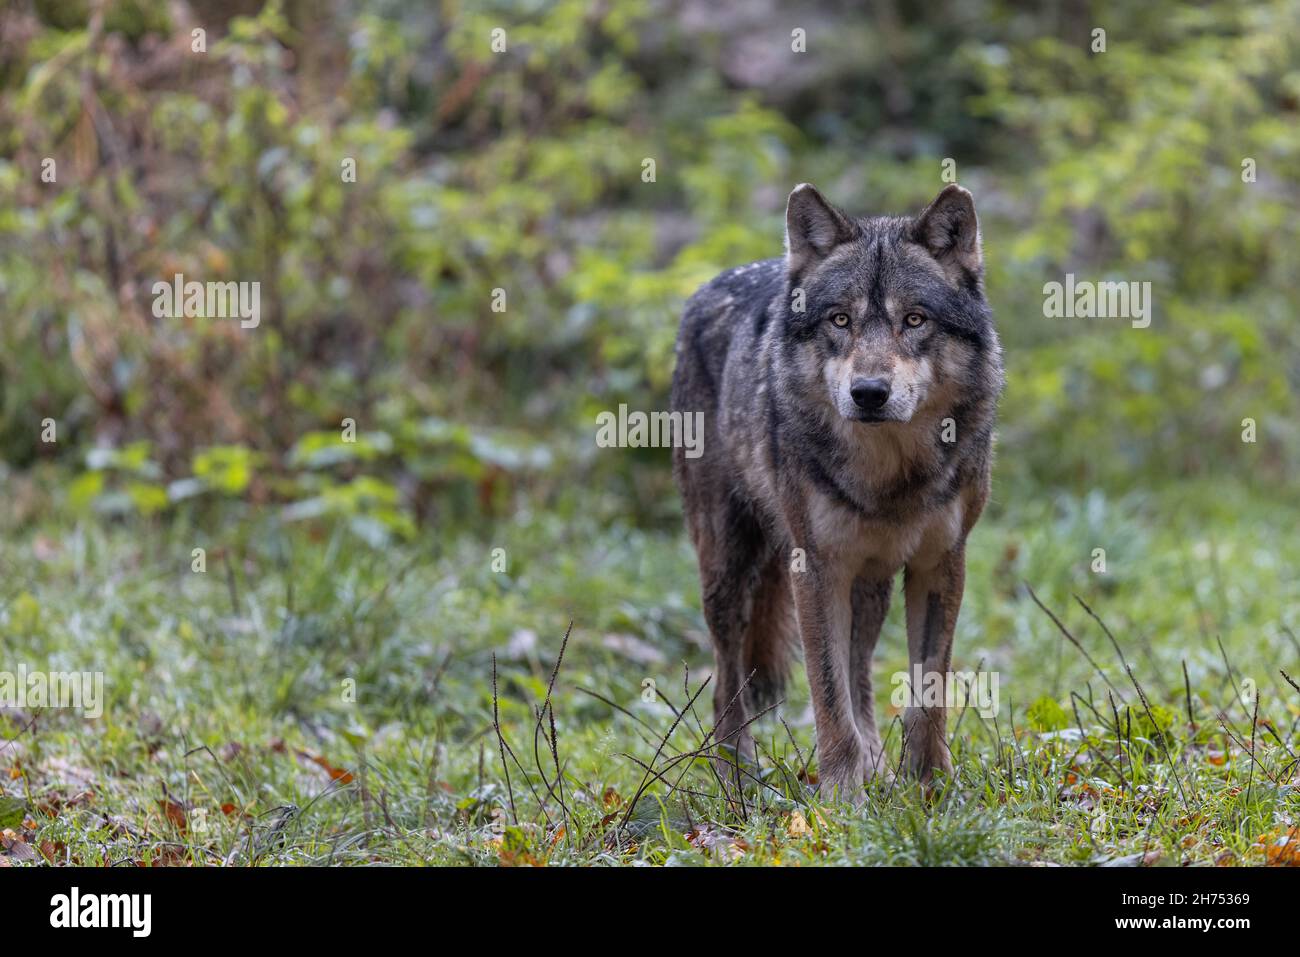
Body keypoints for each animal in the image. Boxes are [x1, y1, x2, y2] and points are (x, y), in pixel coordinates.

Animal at [671, 183, 1003, 799]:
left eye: (914, 319)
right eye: (840, 320)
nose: (868, 392)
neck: (891, 474)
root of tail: (707, 287)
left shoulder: (942, 563)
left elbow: (925, 694)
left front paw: (930, 787)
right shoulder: (817, 568)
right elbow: (827, 693)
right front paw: (843, 796)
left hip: (869, 583)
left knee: (860, 673)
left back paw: (877, 765)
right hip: (728, 572)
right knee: (727, 681)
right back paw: (738, 781)